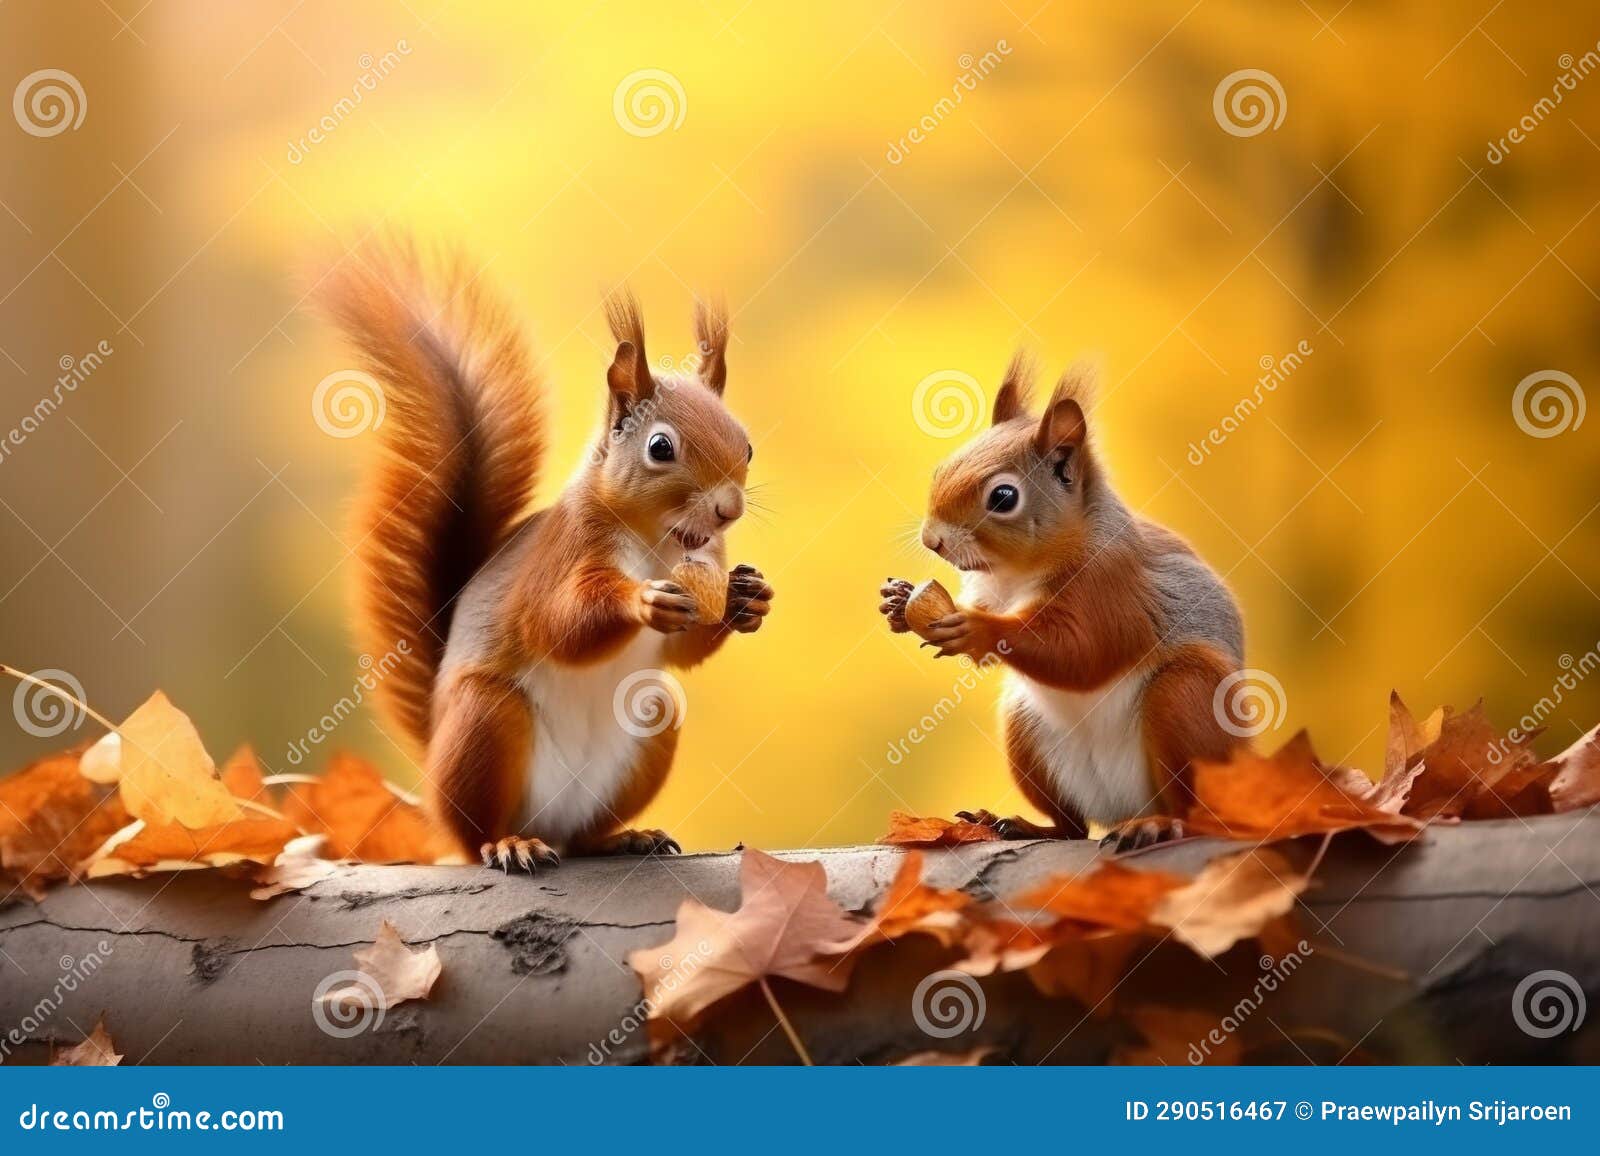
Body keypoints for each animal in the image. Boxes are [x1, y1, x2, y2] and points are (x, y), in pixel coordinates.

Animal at [318, 243, 772, 870]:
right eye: (660, 447)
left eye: (746, 445)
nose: (728, 509)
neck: (656, 542)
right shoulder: (562, 552)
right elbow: (553, 624)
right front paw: (642, 601)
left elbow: (684, 650)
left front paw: (747, 599)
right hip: (486, 721)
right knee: (477, 832)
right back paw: (508, 843)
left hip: (652, 721)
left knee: (582, 834)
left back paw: (622, 838)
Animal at [880, 355, 1245, 851]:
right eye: (941, 469)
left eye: (1003, 497)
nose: (931, 540)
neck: (1015, 573)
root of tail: (1126, 809)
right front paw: (900, 602)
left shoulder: (1110, 589)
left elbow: (1083, 653)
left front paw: (976, 628)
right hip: (1026, 732)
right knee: (1072, 826)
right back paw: (1018, 825)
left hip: (1188, 700)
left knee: (1197, 810)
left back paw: (1163, 825)